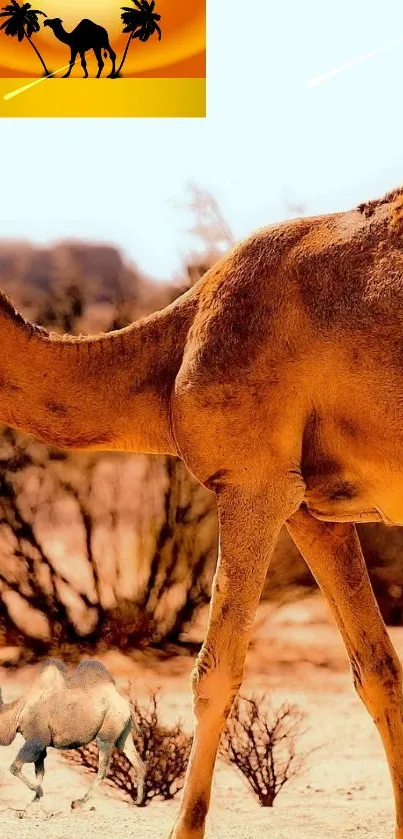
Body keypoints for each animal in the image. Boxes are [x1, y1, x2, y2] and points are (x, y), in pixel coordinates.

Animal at [0, 658, 145, 808]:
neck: (17, 714)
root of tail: (126, 705)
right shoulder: (41, 744)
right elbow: (40, 772)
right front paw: (35, 799)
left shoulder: (36, 739)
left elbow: (15, 768)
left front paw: (38, 793)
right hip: (124, 733)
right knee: (137, 762)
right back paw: (137, 802)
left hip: (107, 733)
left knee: (103, 768)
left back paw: (80, 801)